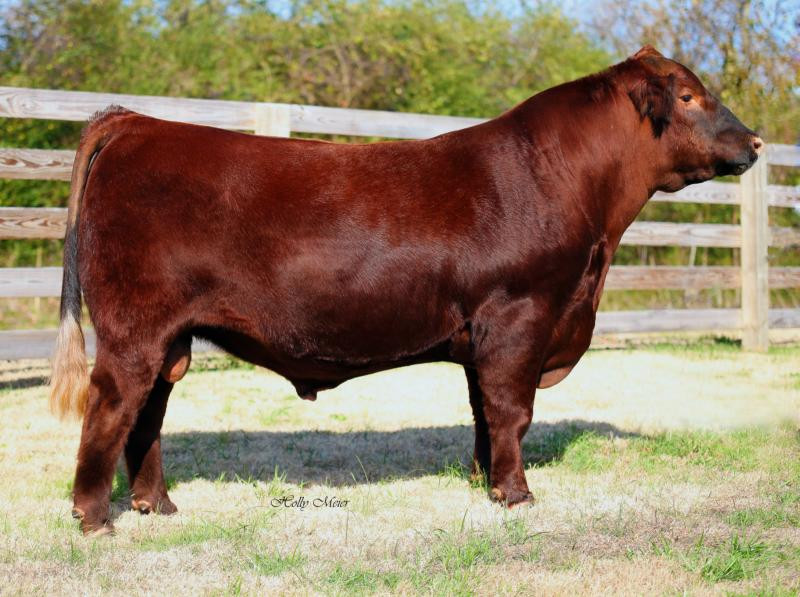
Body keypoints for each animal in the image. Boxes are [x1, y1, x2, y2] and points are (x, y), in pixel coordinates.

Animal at [49, 46, 762, 535]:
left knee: (148, 415)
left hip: (170, 337)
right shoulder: (522, 314)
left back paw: (158, 505)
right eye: (690, 97)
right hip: (134, 327)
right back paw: (95, 518)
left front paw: (484, 481)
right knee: (111, 405)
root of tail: (136, 121)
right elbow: (513, 409)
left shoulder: (486, 335)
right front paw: (517, 494)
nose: (755, 140)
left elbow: (482, 412)